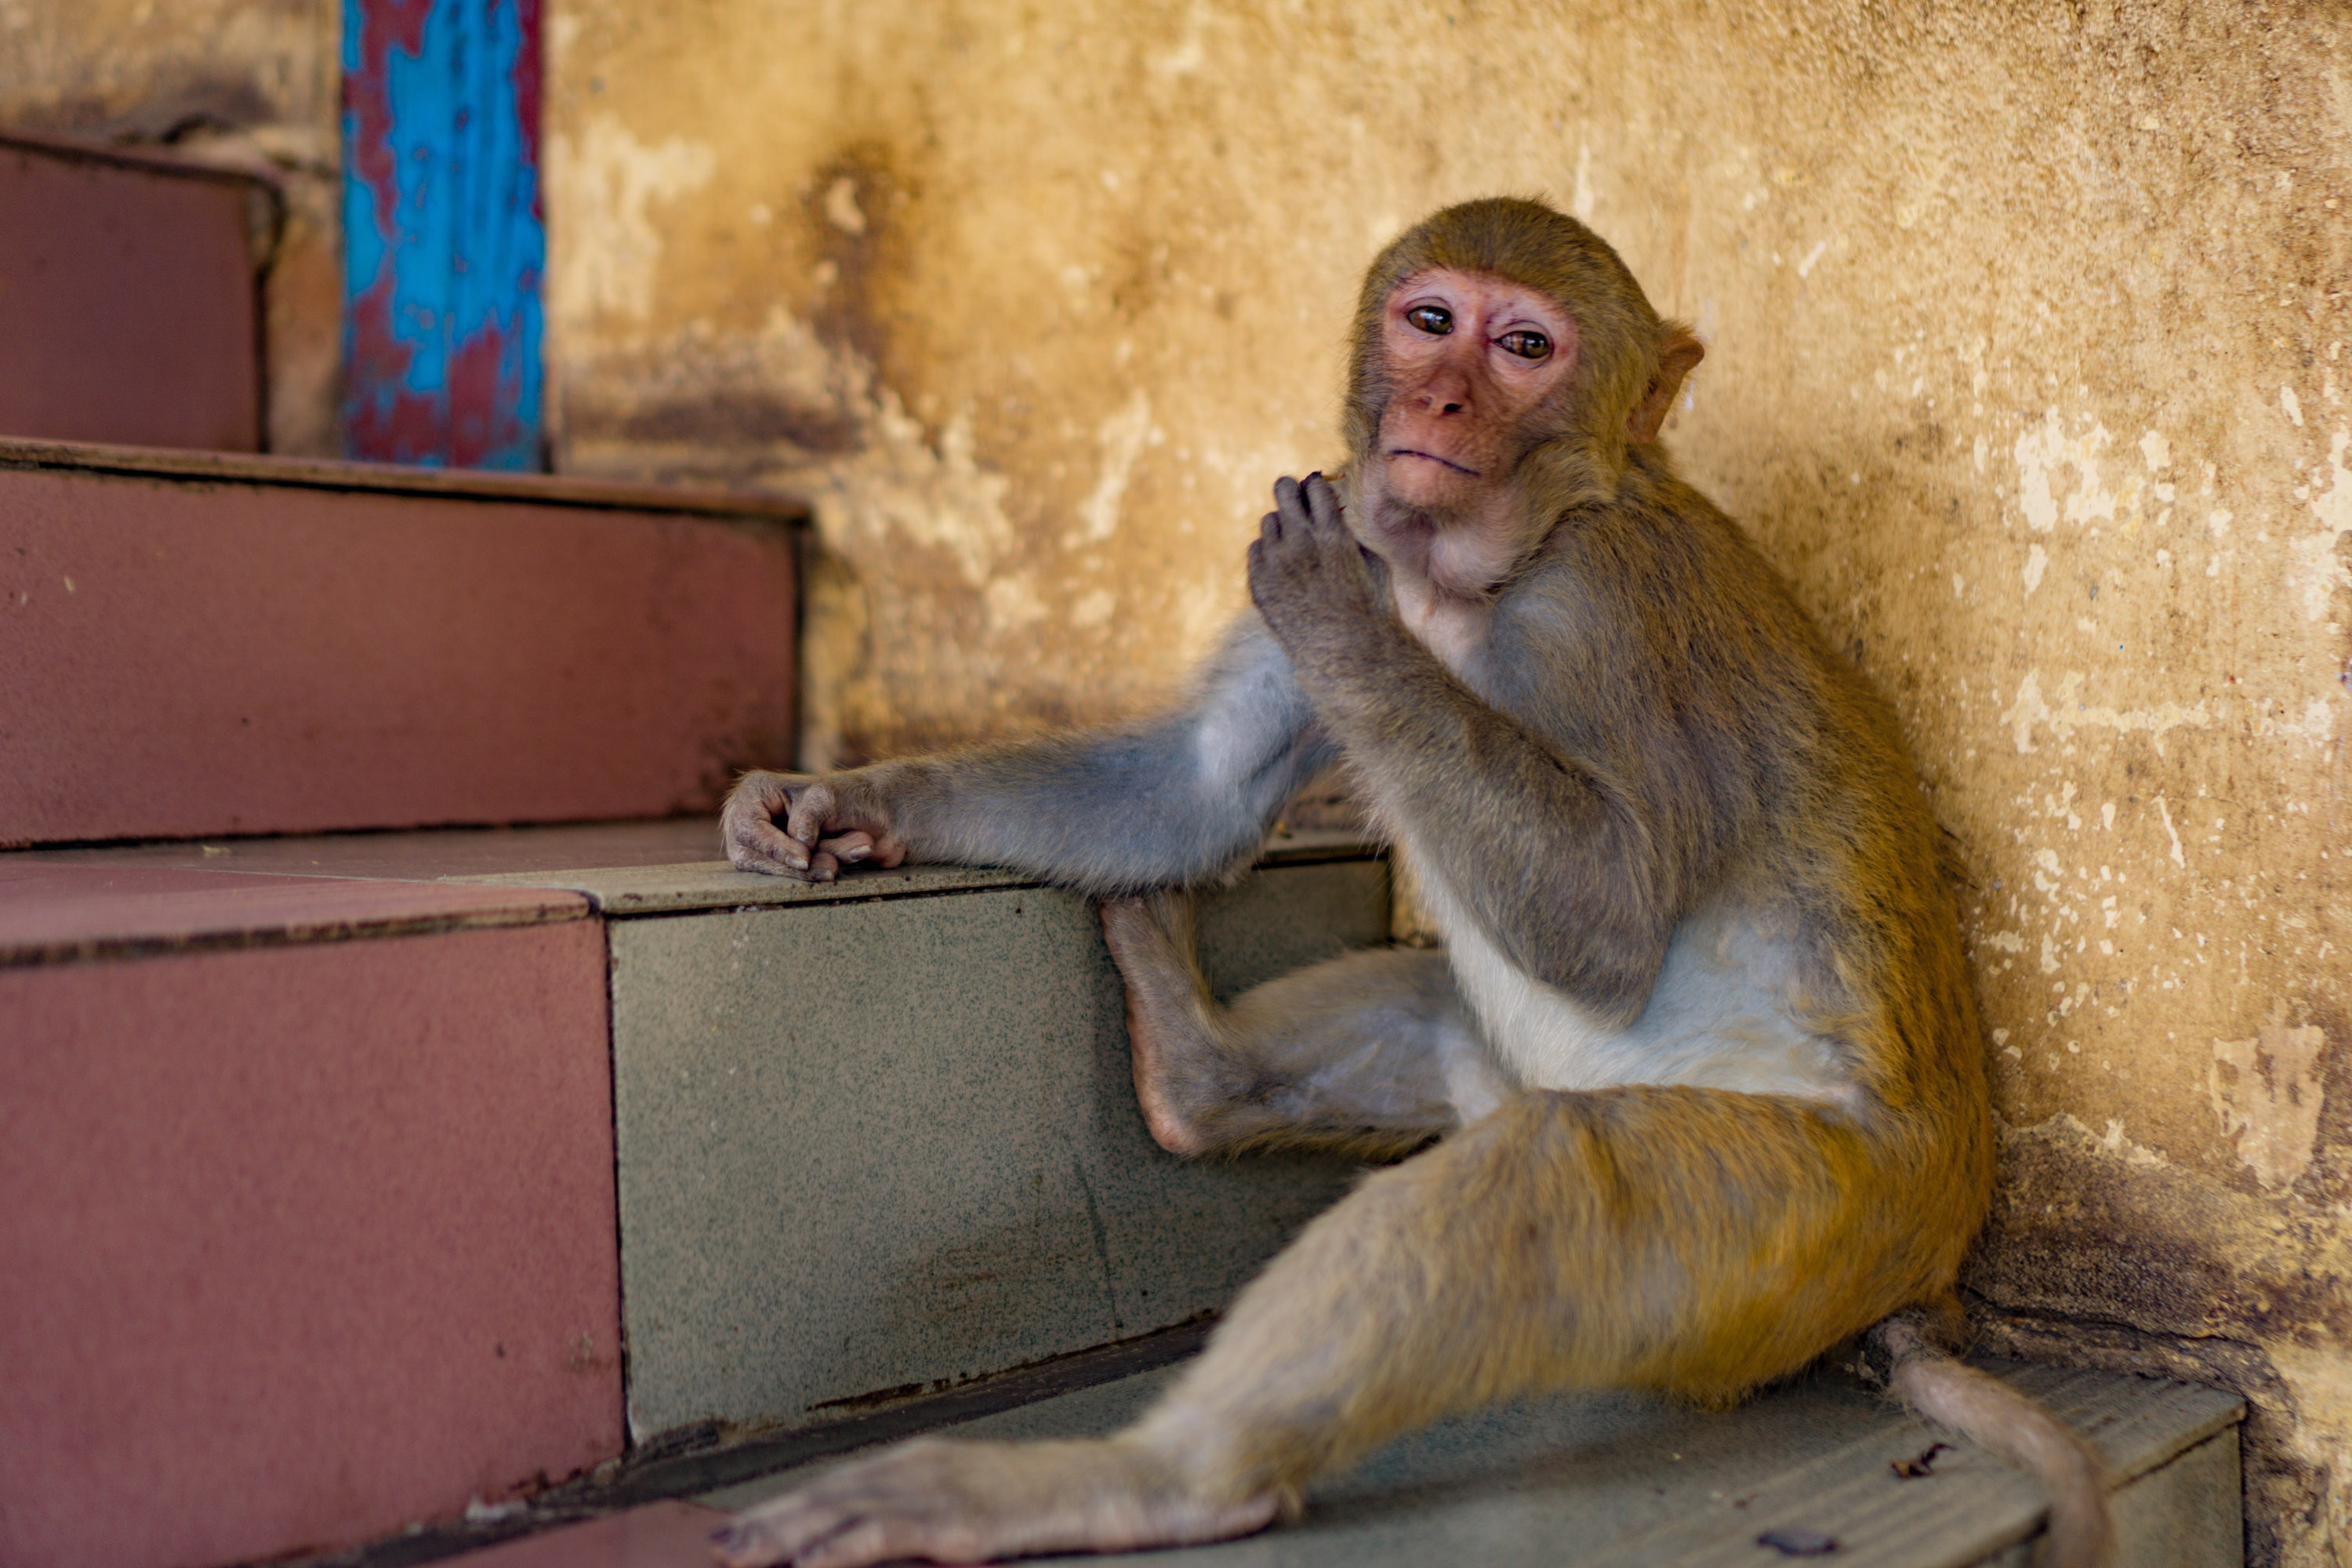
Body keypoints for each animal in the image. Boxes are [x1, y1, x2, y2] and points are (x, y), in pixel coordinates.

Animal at [709, 198, 2109, 1568]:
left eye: (1524, 348)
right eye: (1432, 321)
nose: (1437, 406)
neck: (1470, 575)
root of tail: (1928, 1272)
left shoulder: (1607, 607)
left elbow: (1606, 918)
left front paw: (1338, 620)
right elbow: (1195, 786)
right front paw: (849, 802)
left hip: (1808, 1228)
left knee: (1559, 1173)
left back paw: (1155, 1479)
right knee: (1444, 1024)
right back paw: (1198, 1076)